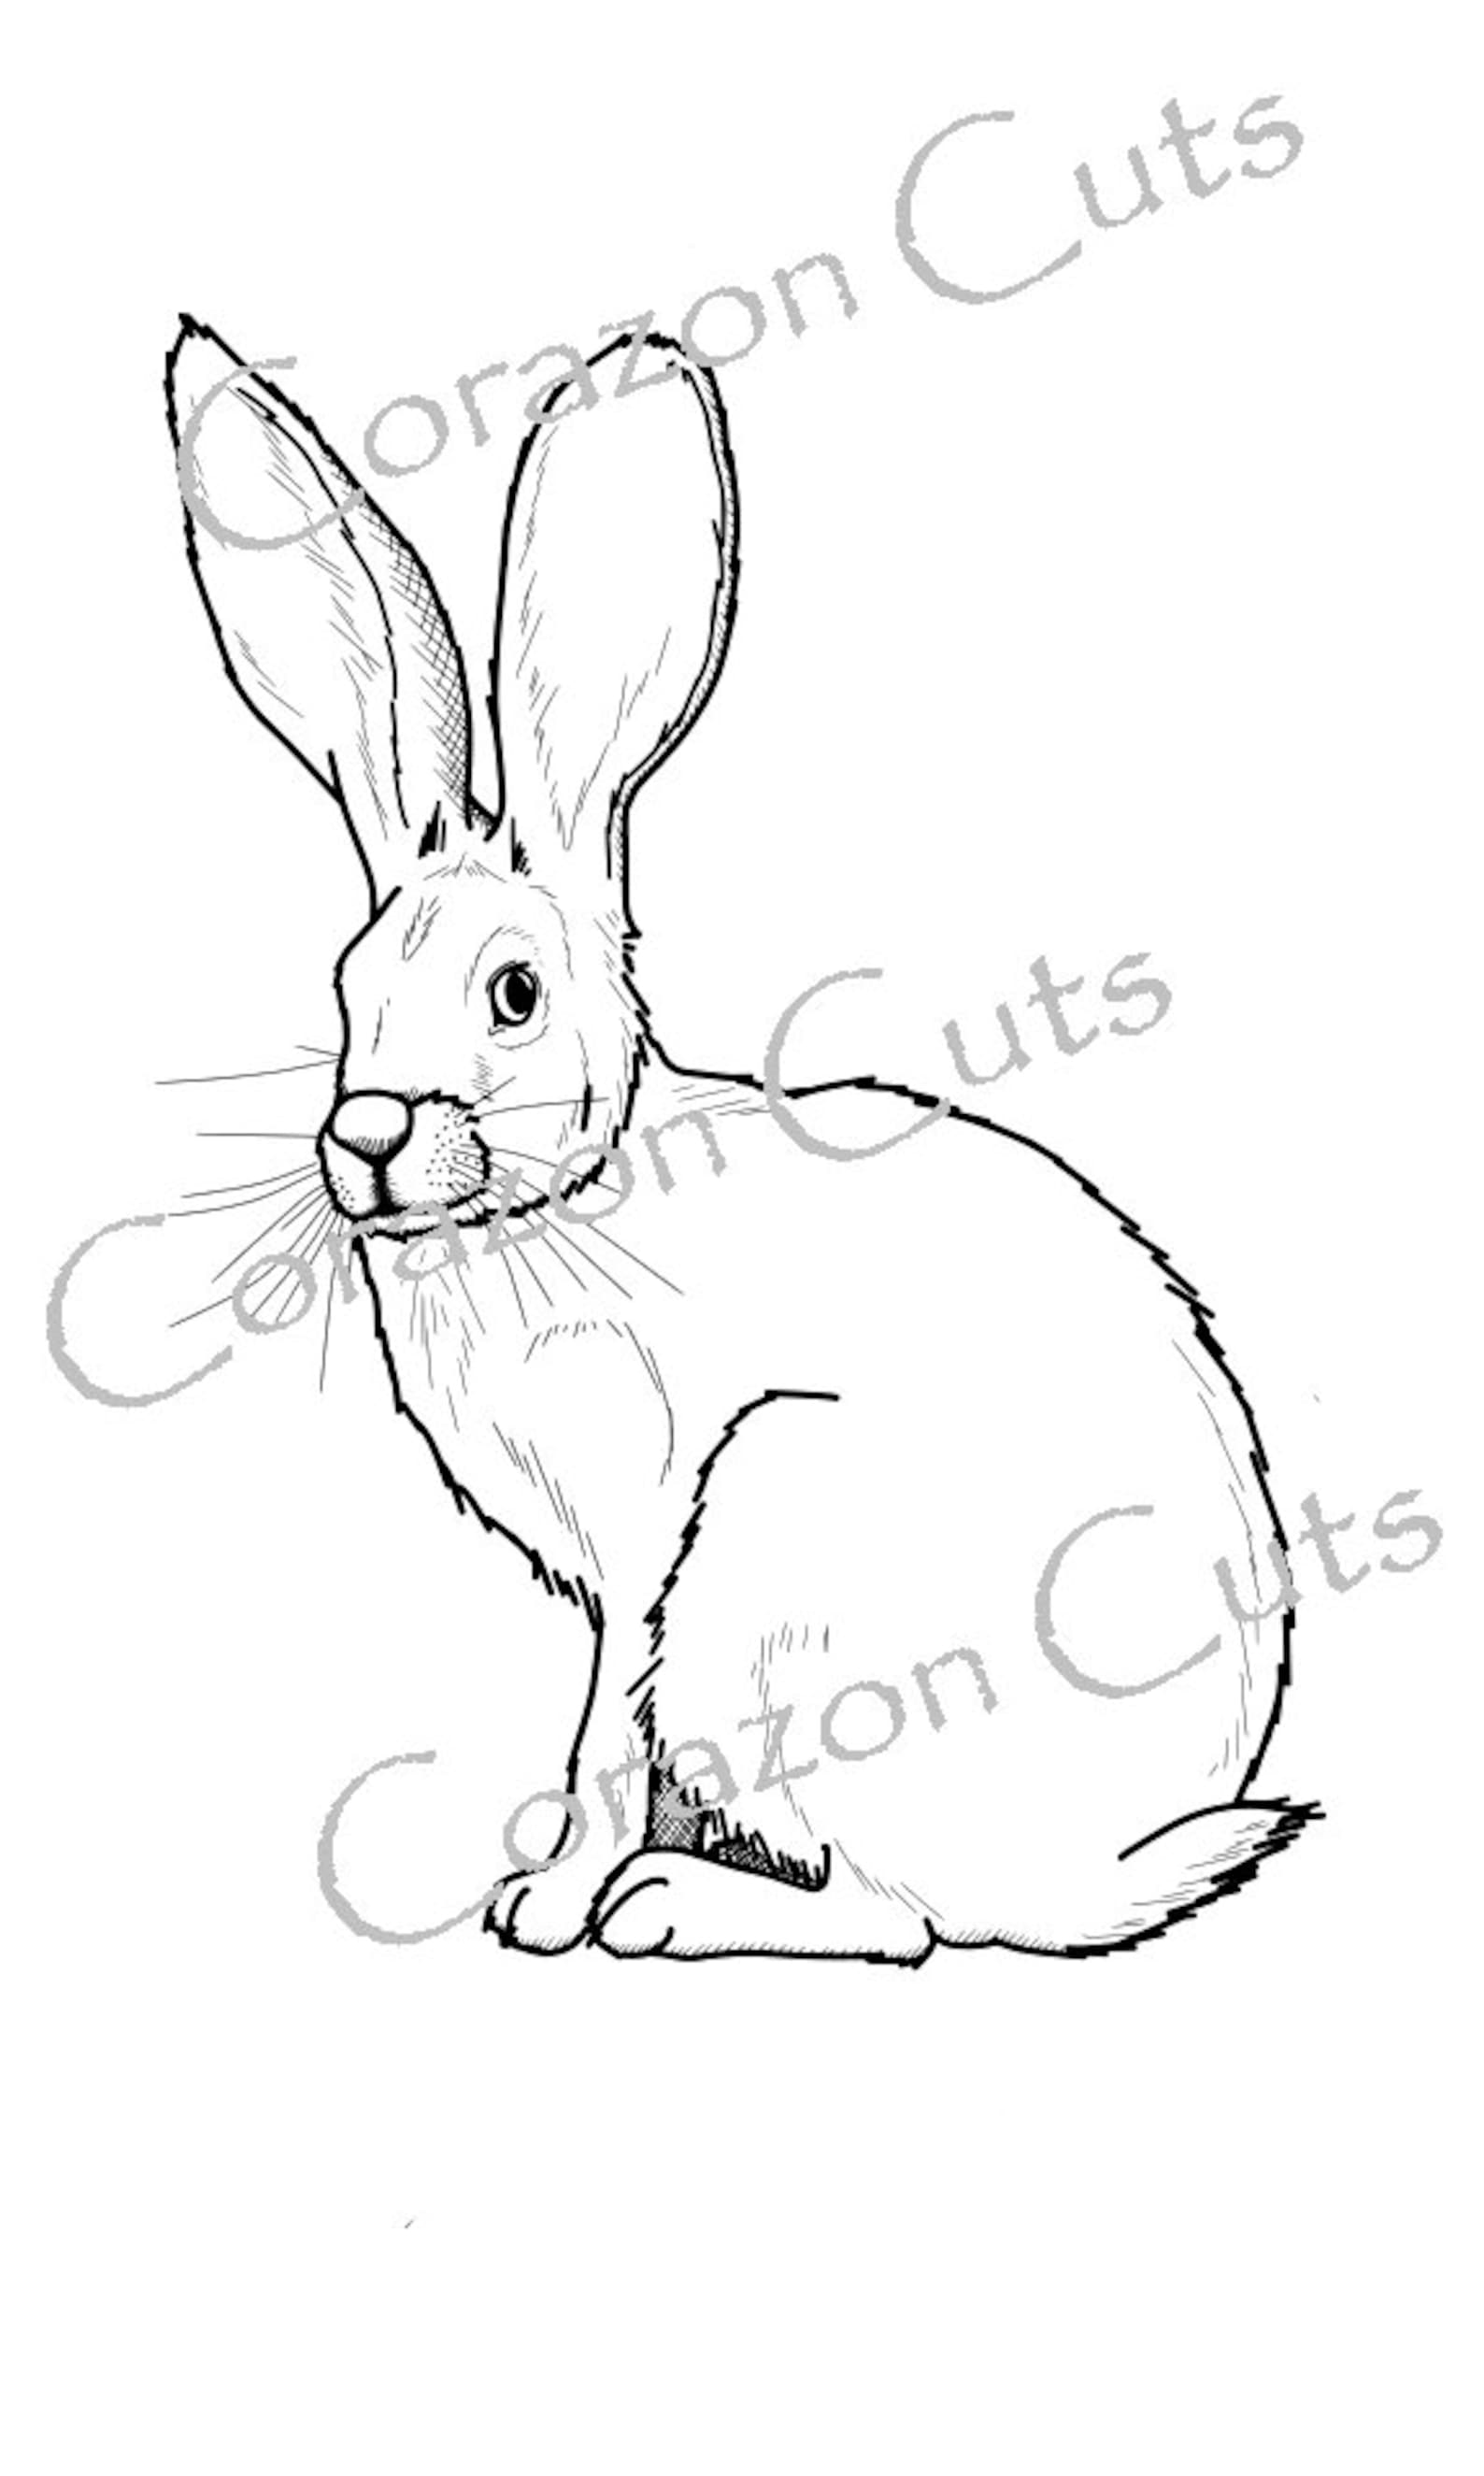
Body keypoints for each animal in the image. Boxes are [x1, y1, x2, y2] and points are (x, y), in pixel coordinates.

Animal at [164, 314, 1316, 1964]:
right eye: (347, 991)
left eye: (514, 992)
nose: (368, 1135)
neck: (549, 1206)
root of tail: (1072, 1873)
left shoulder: (645, 1541)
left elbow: (607, 1734)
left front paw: (553, 1898)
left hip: (777, 1558)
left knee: (900, 1918)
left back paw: (665, 1904)